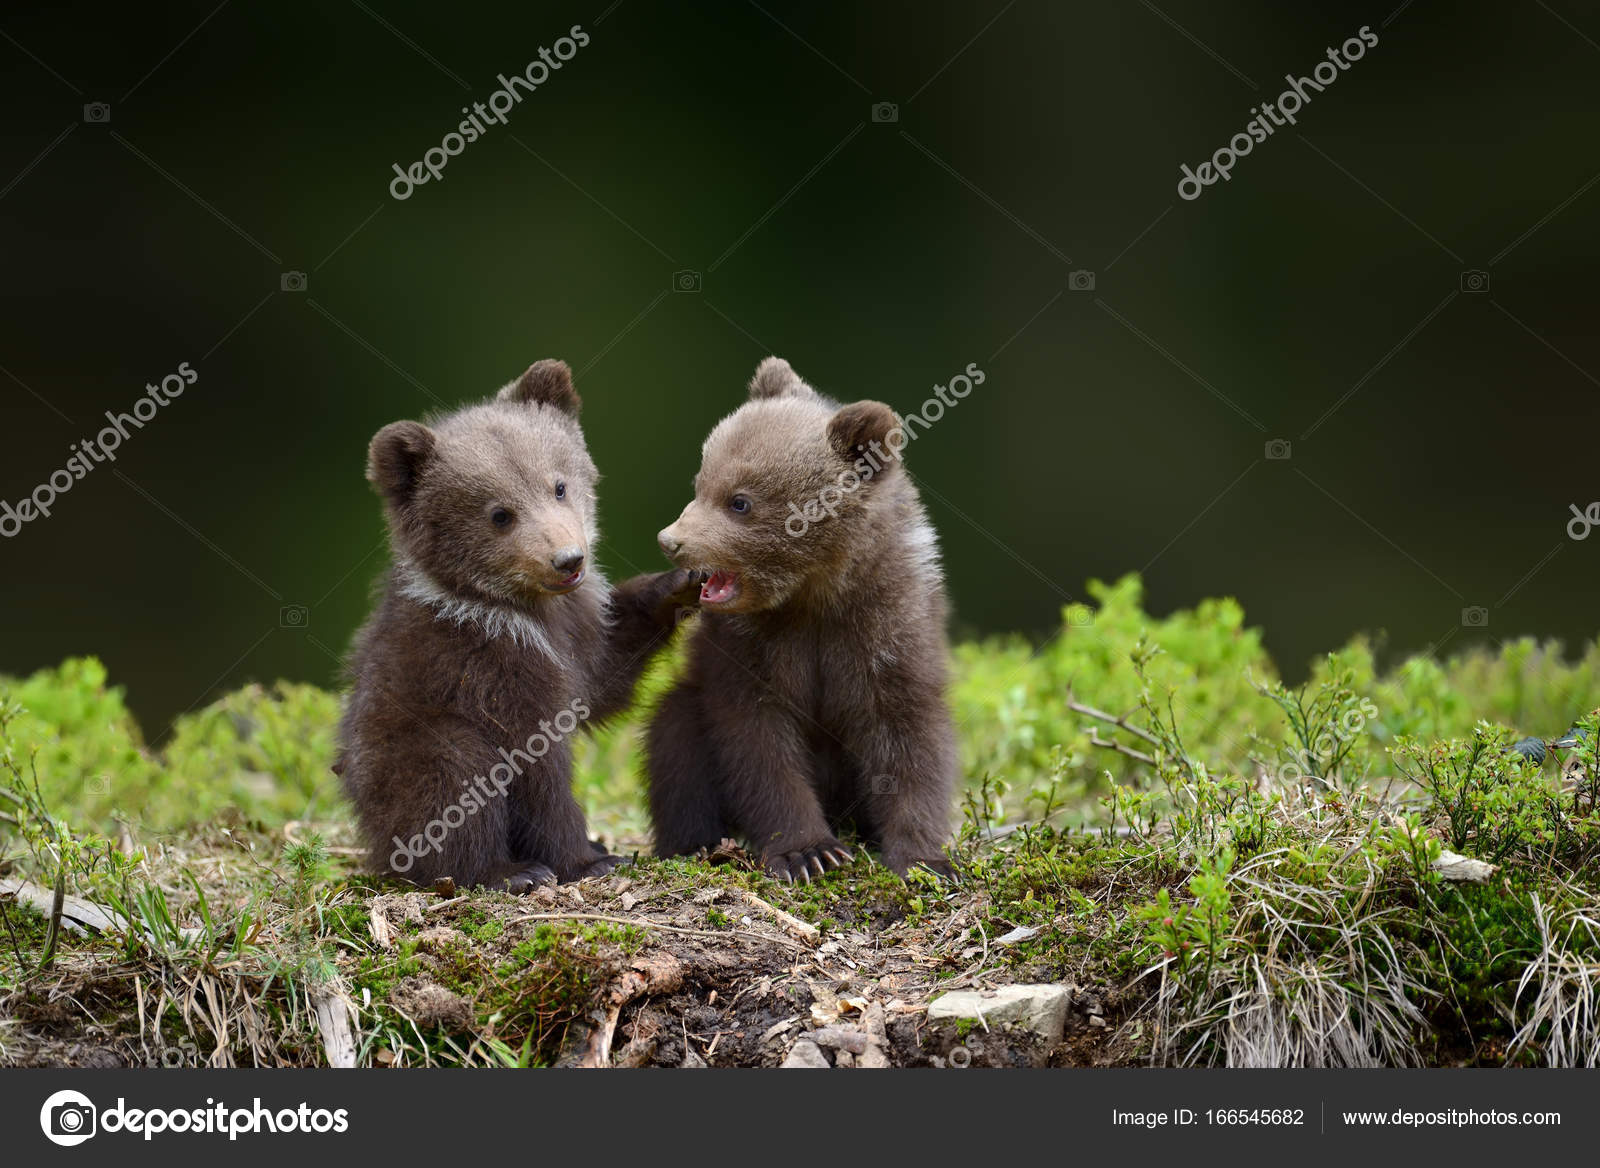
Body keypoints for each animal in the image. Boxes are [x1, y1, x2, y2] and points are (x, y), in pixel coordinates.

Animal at [337, 359, 703, 891]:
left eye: (558, 485)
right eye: (500, 514)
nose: (568, 559)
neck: (523, 609)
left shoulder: (577, 630)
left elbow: (604, 677)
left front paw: (679, 583)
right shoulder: (490, 665)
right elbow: (534, 768)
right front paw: (588, 859)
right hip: (406, 751)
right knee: (454, 773)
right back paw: (507, 870)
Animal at [646, 356, 957, 882]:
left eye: (740, 500)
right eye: (700, 482)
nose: (671, 540)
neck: (814, 594)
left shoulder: (888, 626)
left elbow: (909, 736)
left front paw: (925, 858)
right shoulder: (750, 647)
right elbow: (759, 744)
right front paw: (808, 852)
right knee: (674, 739)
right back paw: (696, 842)